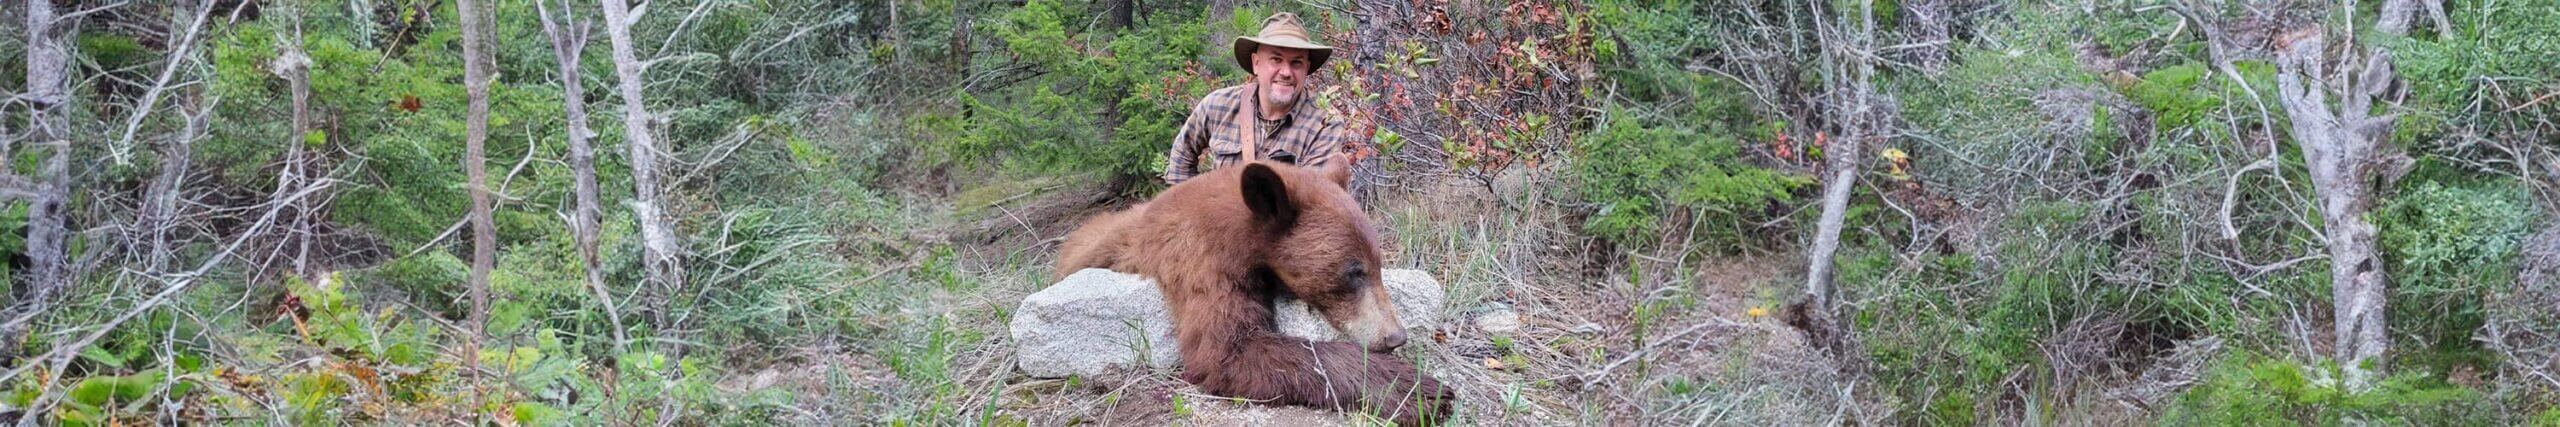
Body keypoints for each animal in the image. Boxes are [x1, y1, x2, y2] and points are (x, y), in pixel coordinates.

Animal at [1053, 161, 1454, 425]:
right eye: (1354, 272)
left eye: (1378, 264)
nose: (1395, 336)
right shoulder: (1203, 263)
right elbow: (1227, 350)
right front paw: (1419, 391)